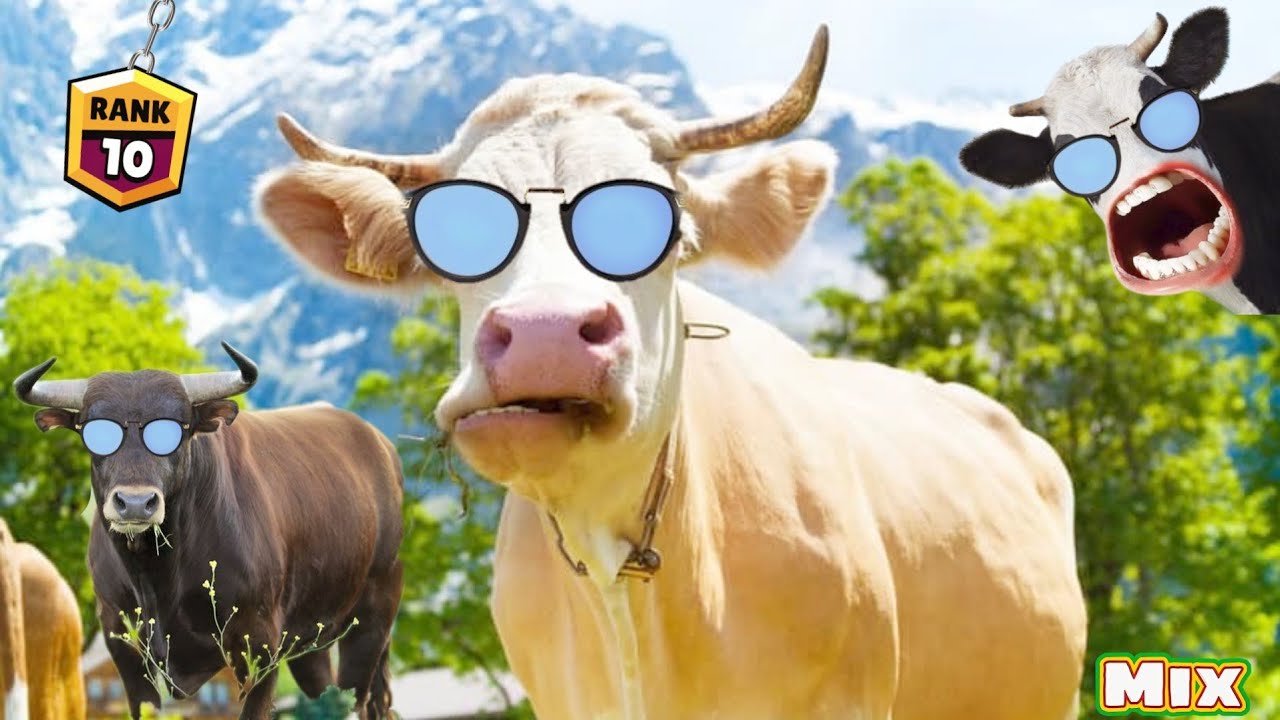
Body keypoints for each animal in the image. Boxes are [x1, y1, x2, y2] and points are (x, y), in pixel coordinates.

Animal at [12, 343, 405, 720]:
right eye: (94, 431)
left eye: (178, 428)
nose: (136, 503)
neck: (157, 577)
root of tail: (381, 446)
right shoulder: (121, 642)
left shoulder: (259, 642)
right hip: (312, 641)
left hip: (373, 619)